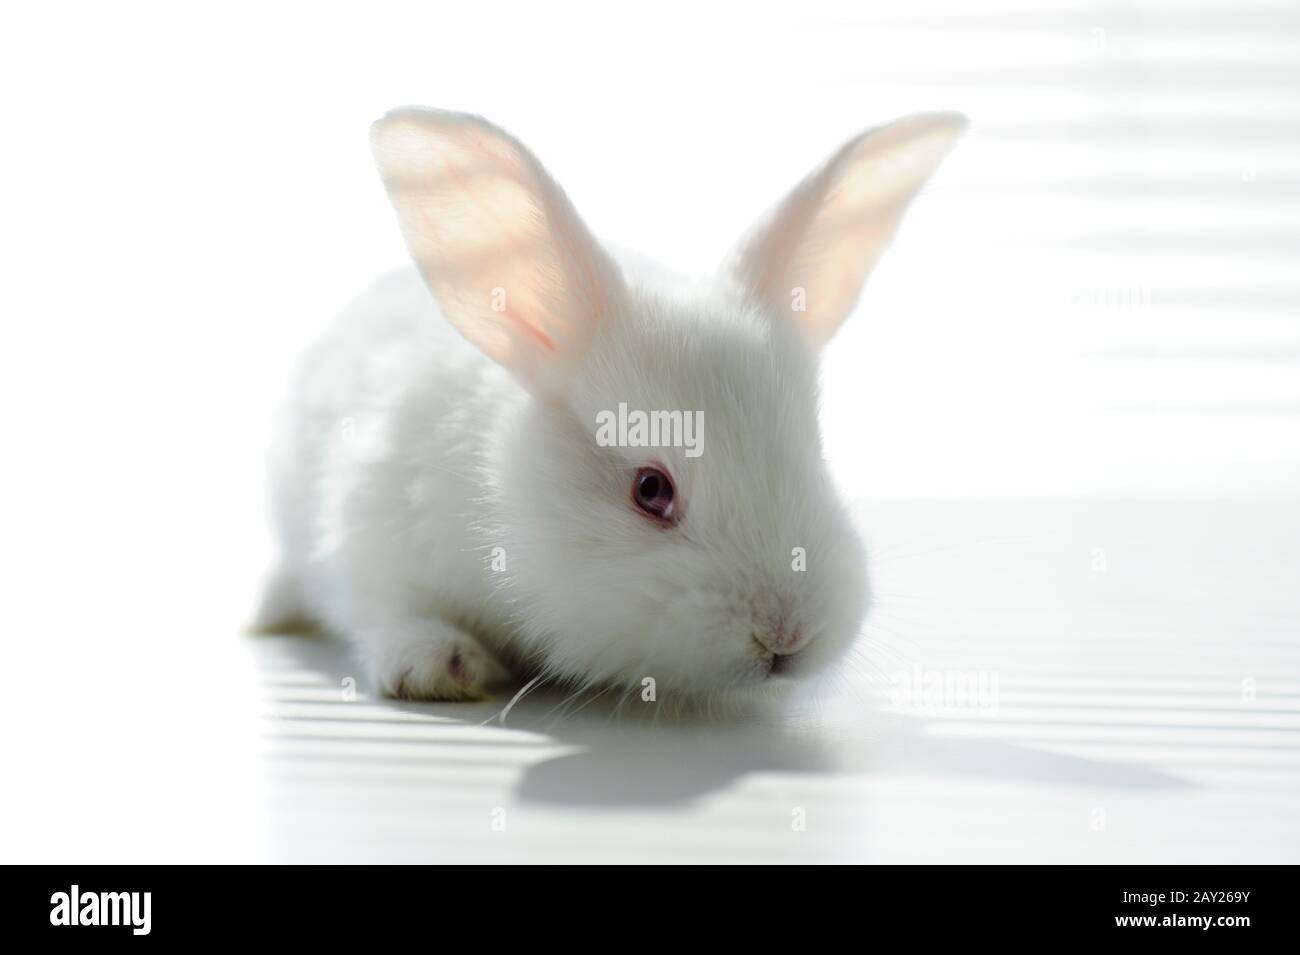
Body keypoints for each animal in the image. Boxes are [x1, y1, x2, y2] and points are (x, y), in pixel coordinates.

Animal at [256, 107, 966, 704]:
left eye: (815, 461)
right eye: (650, 490)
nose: (786, 635)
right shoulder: (365, 527)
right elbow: (382, 606)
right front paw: (438, 664)